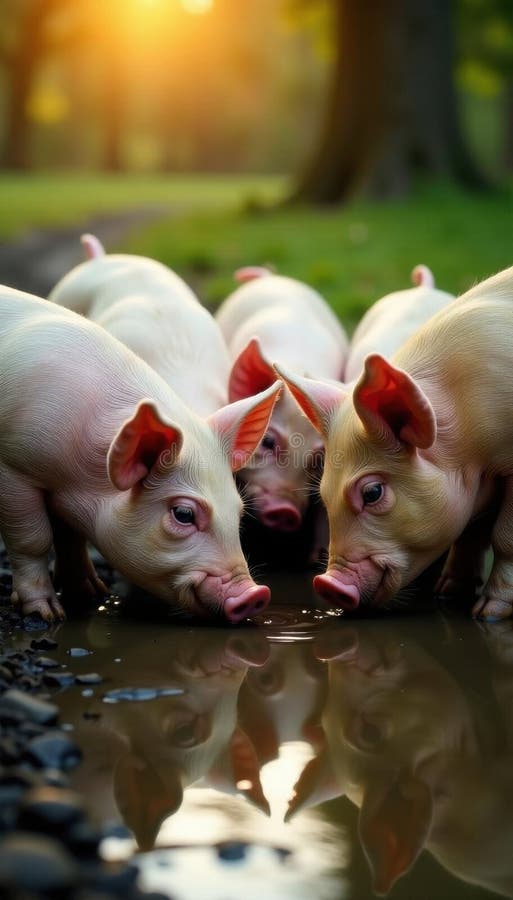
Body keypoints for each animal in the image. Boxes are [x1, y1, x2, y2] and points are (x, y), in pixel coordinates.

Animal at [0, 285, 281, 623]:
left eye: (238, 512)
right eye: (183, 514)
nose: (256, 594)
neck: (77, 481)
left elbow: (70, 539)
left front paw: (91, 593)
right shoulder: (14, 467)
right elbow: (34, 539)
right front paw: (48, 614)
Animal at [276, 264, 513, 619]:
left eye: (372, 492)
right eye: (323, 493)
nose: (326, 585)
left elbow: (503, 537)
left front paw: (486, 613)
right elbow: (470, 535)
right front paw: (447, 594)